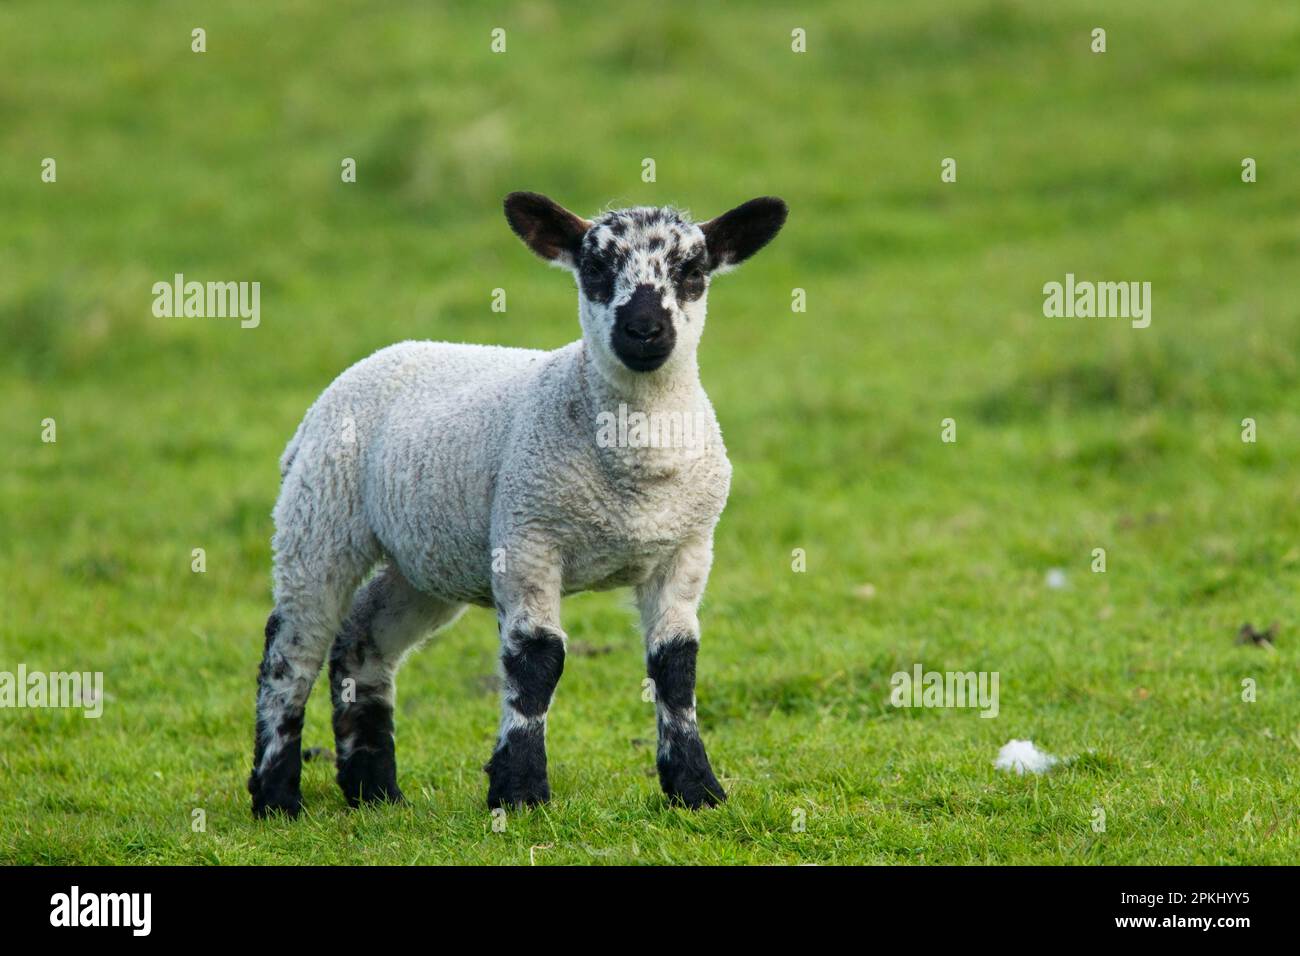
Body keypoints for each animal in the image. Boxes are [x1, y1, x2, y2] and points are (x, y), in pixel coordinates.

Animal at [248, 191, 788, 817]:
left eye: (692, 271)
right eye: (594, 269)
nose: (644, 329)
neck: (634, 470)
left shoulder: (689, 547)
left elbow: (676, 664)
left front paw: (696, 788)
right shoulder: (528, 536)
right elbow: (537, 660)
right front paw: (521, 790)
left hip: (427, 558)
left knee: (362, 641)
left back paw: (374, 791)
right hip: (320, 515)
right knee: (292, 648)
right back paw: (276, 796)